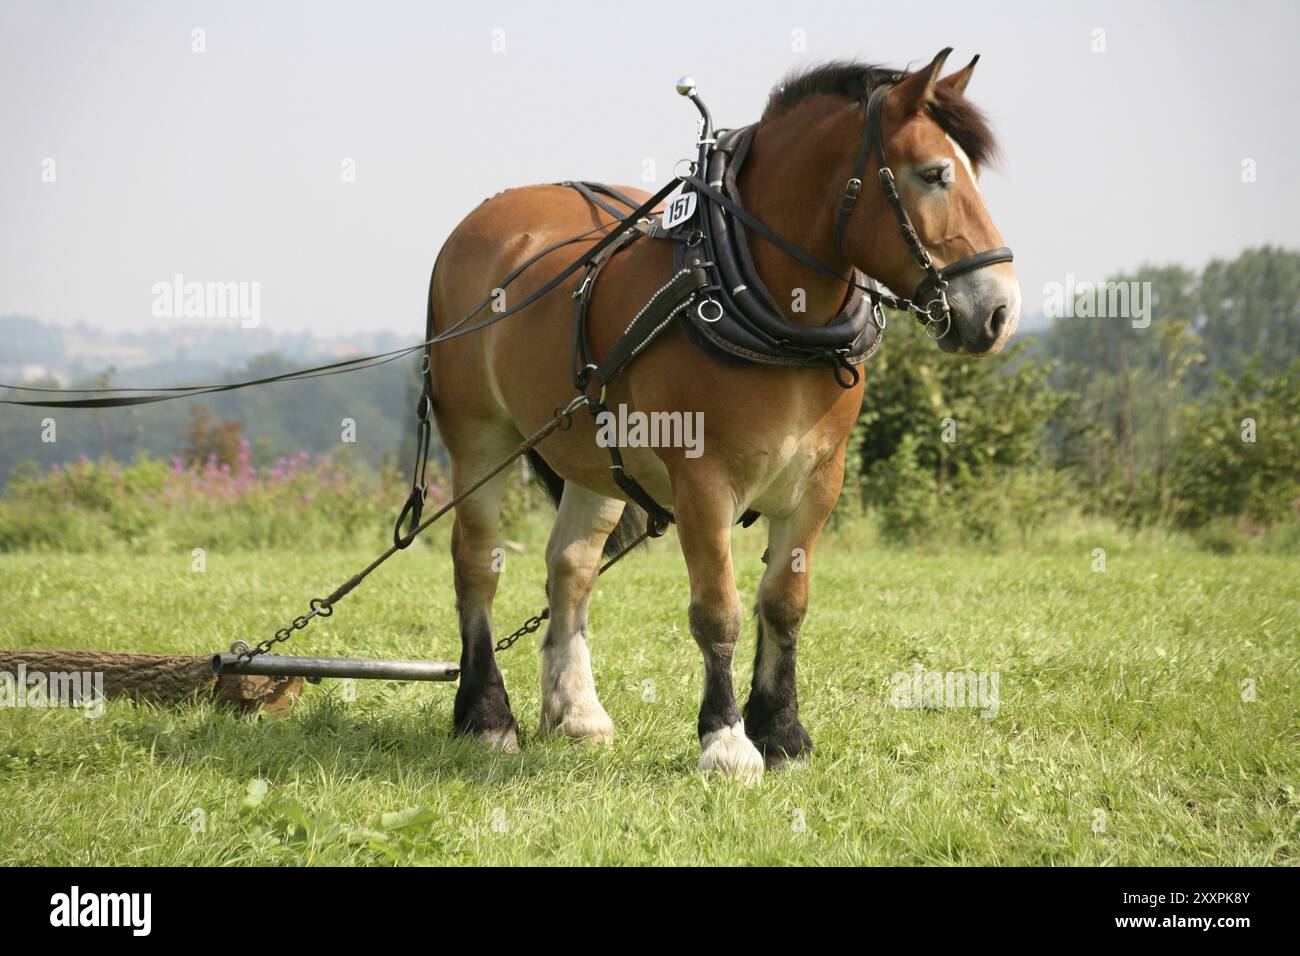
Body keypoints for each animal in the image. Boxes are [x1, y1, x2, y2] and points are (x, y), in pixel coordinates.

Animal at [426, 49, 1020, 782]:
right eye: (934, 174)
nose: (999, 310)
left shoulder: (819, 481)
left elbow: (784, 605)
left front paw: (784, 732)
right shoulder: (702, 483)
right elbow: (719, 611)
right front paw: (727, 740)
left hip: (592, 459)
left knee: (571, 566)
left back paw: (577, 712)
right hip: (479, 438)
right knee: (477, 563)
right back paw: (487, 717)